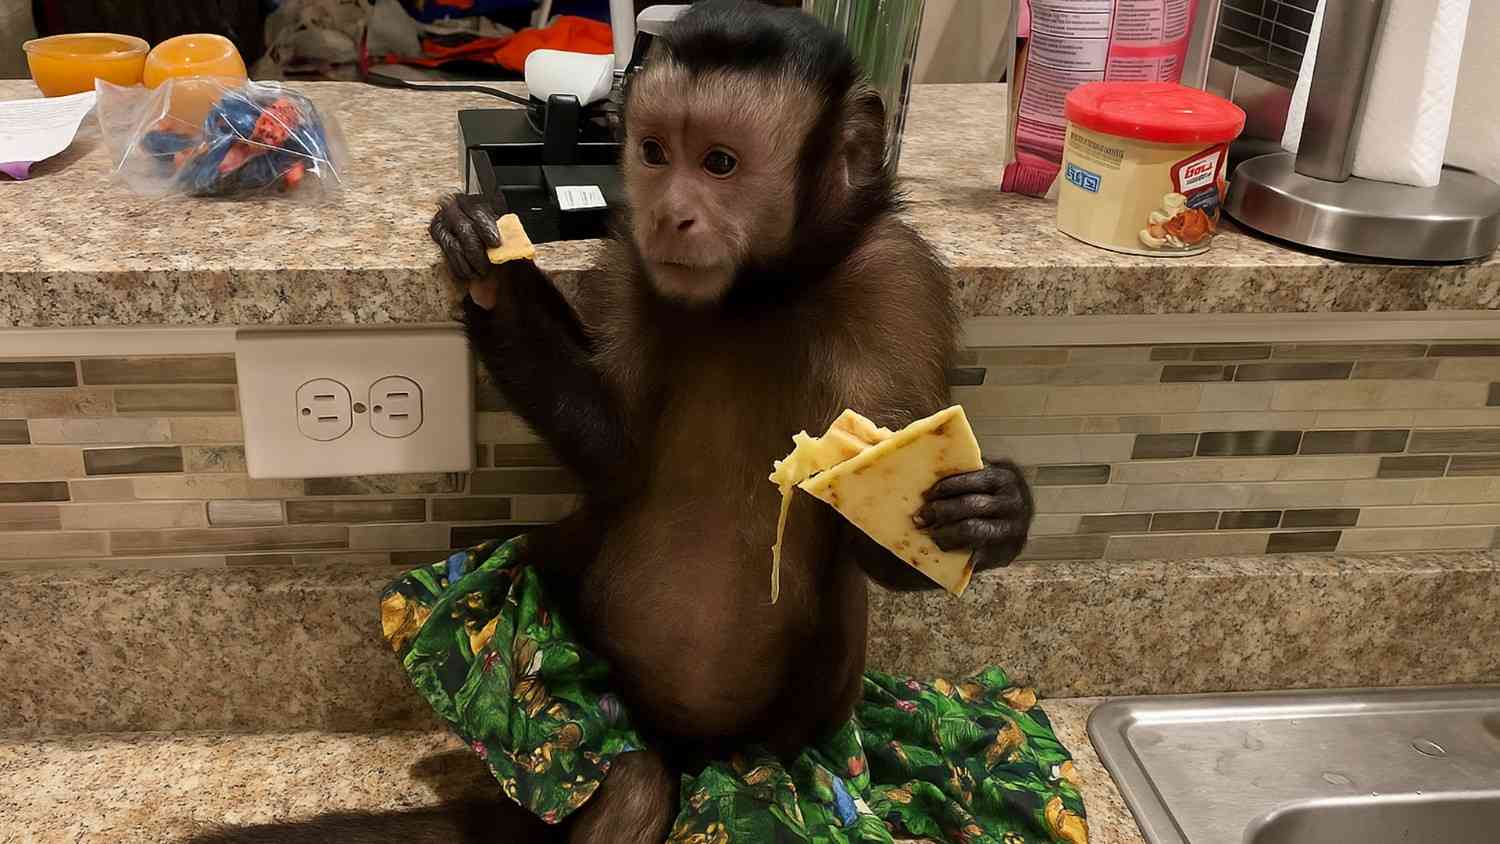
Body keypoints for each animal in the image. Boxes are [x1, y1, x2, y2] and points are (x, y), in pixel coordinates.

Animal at [184, 2, 1032, 842]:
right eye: (654, 154)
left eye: (719, 163)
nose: (669, 214)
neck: (757, 294)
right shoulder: (629, 260)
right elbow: (613, 453)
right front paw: (494, 271)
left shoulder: (897, 284)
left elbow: (881, 526)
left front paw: (990, 516)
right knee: (627, 777)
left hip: (765, 763)